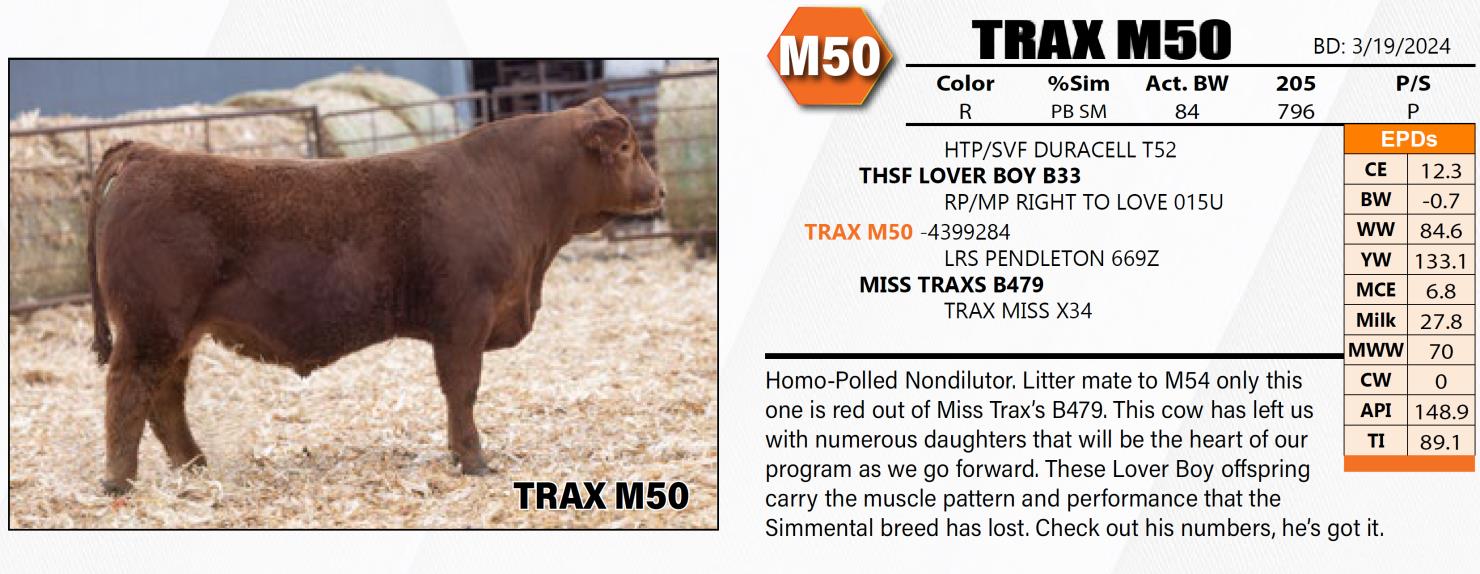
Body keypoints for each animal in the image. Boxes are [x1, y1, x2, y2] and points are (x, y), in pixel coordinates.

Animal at [86, 98, 664, 495]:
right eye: (626, 148)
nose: (659, 190)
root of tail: (145, 152)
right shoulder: (464, 319)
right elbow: (463, 390)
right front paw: (473, 460)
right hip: (150, 326)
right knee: (127, 389)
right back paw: (119, 482)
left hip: (178, 331)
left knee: (165, 397)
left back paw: (193, 465)